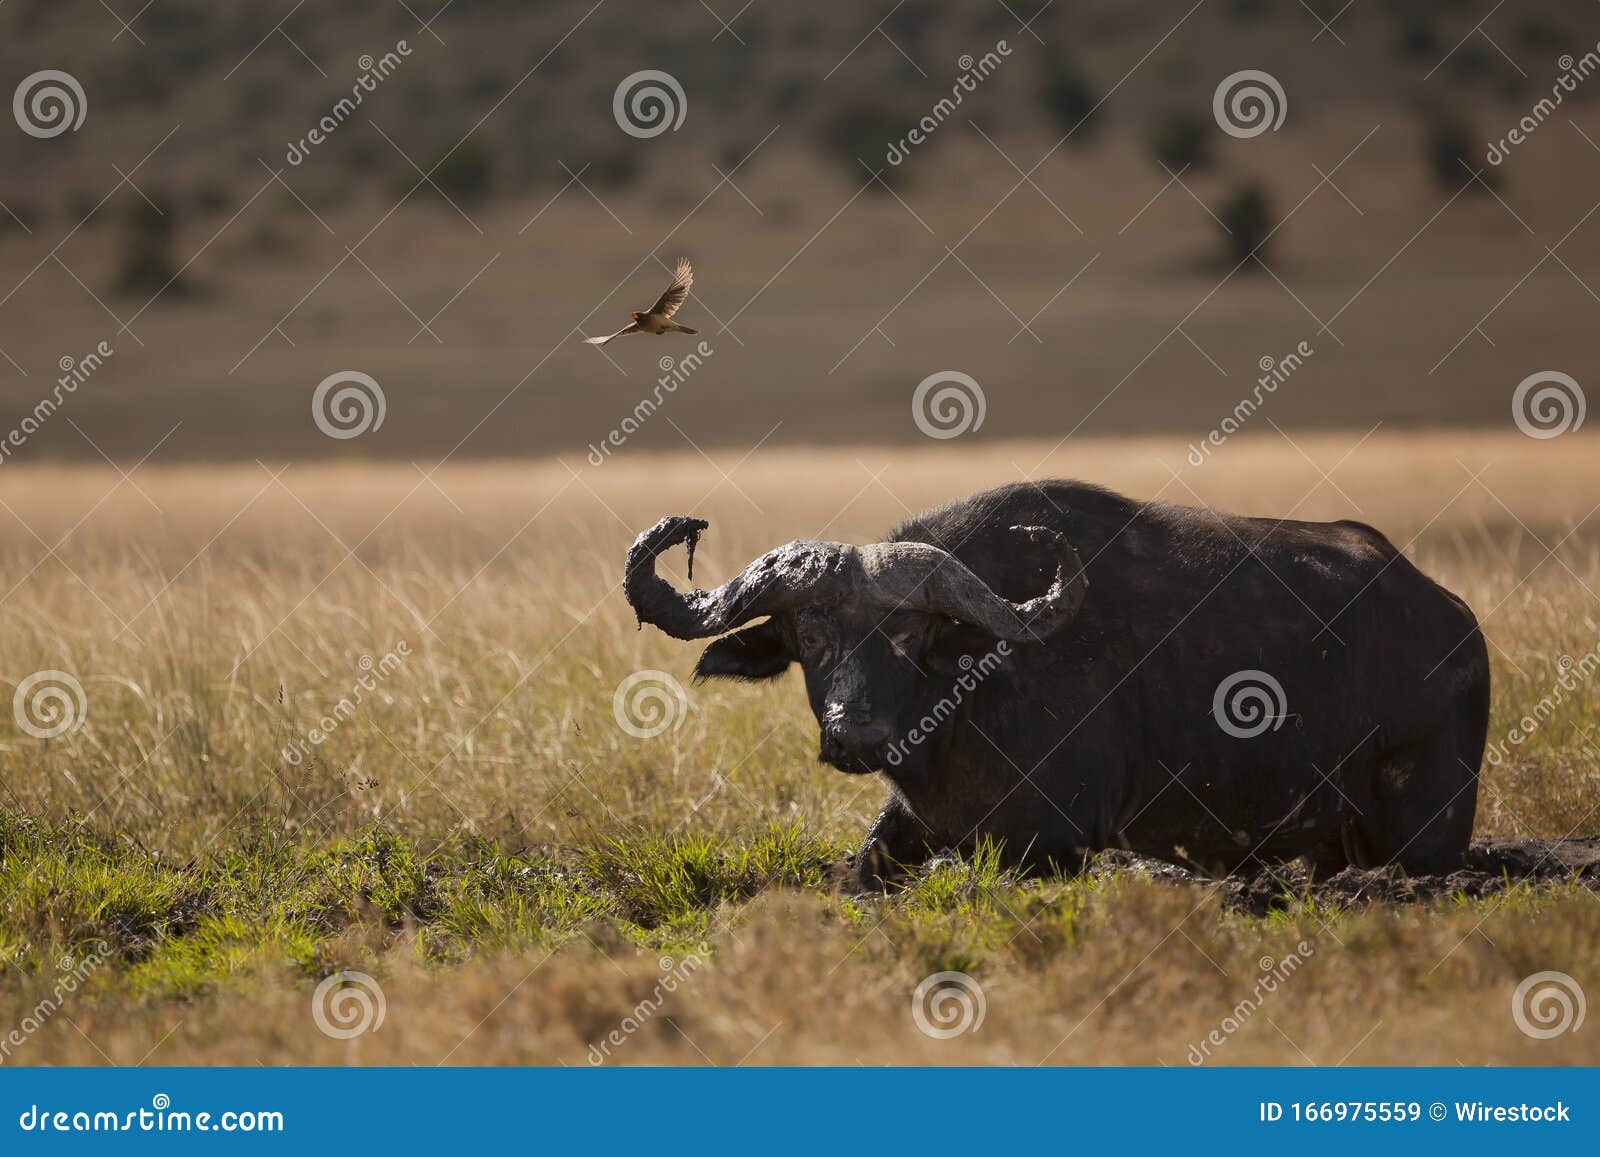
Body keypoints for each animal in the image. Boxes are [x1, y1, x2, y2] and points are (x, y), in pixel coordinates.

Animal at [625, 481, 1489, 887]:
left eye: (911, 636)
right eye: (811, 635)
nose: (856, 733)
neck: (960, 706)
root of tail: (1455, 619)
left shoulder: (1053, 844)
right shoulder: (913, 825)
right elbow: (868, 865)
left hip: (1422, 836)